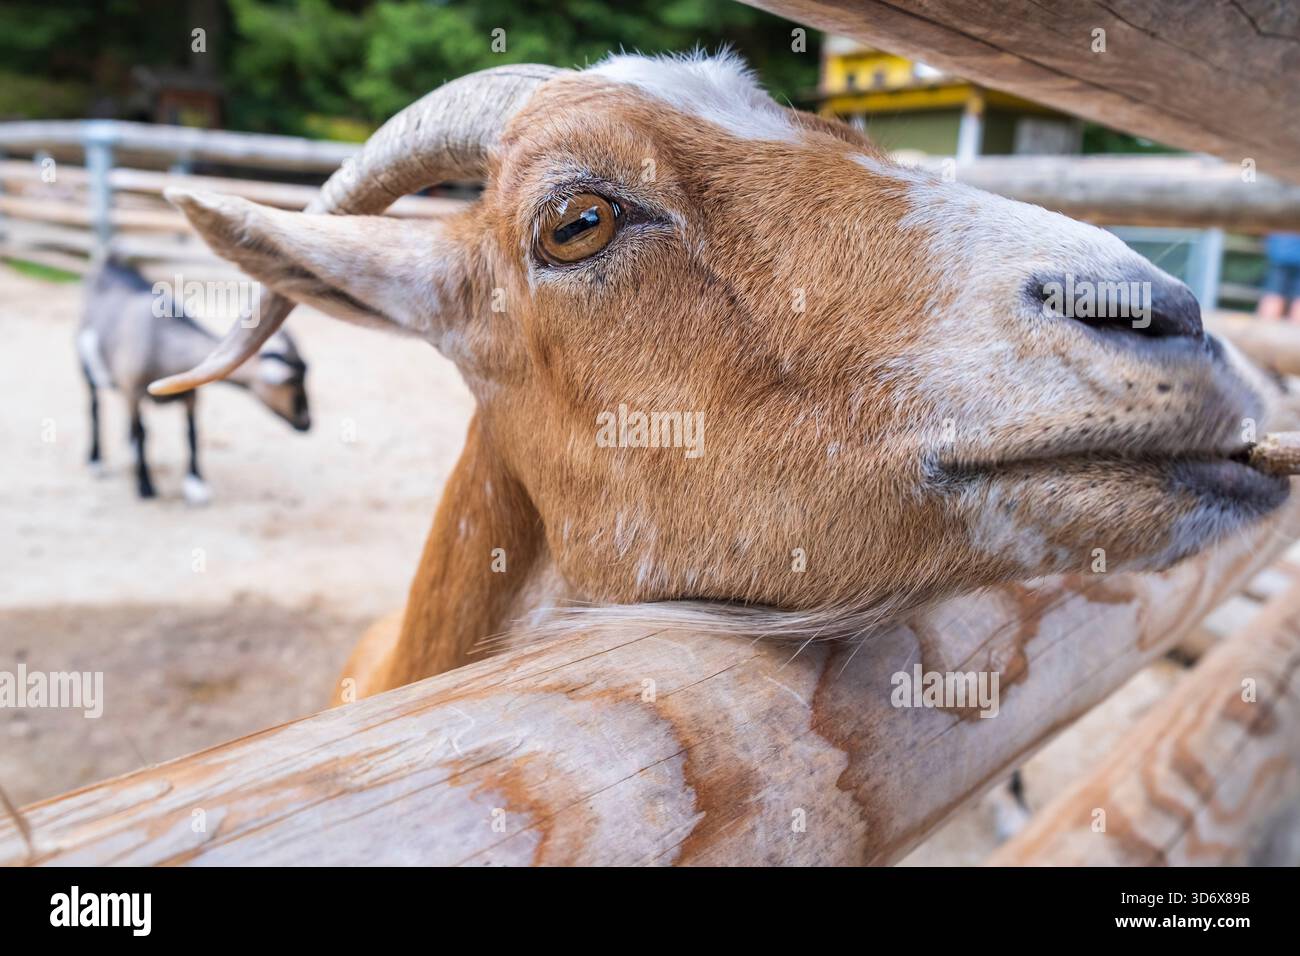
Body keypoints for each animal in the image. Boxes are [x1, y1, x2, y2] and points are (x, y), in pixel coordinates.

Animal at [79, 259, 310, 503]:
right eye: (293, 382)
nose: (307, 423)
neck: (161, 339)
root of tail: (106, 263)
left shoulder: (191, 394)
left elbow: (191, 433)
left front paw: (196, 484)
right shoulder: (133, 390)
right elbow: (142, 434)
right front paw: (145, 485)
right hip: (87, 366)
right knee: (95, 408)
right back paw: (96, 460)